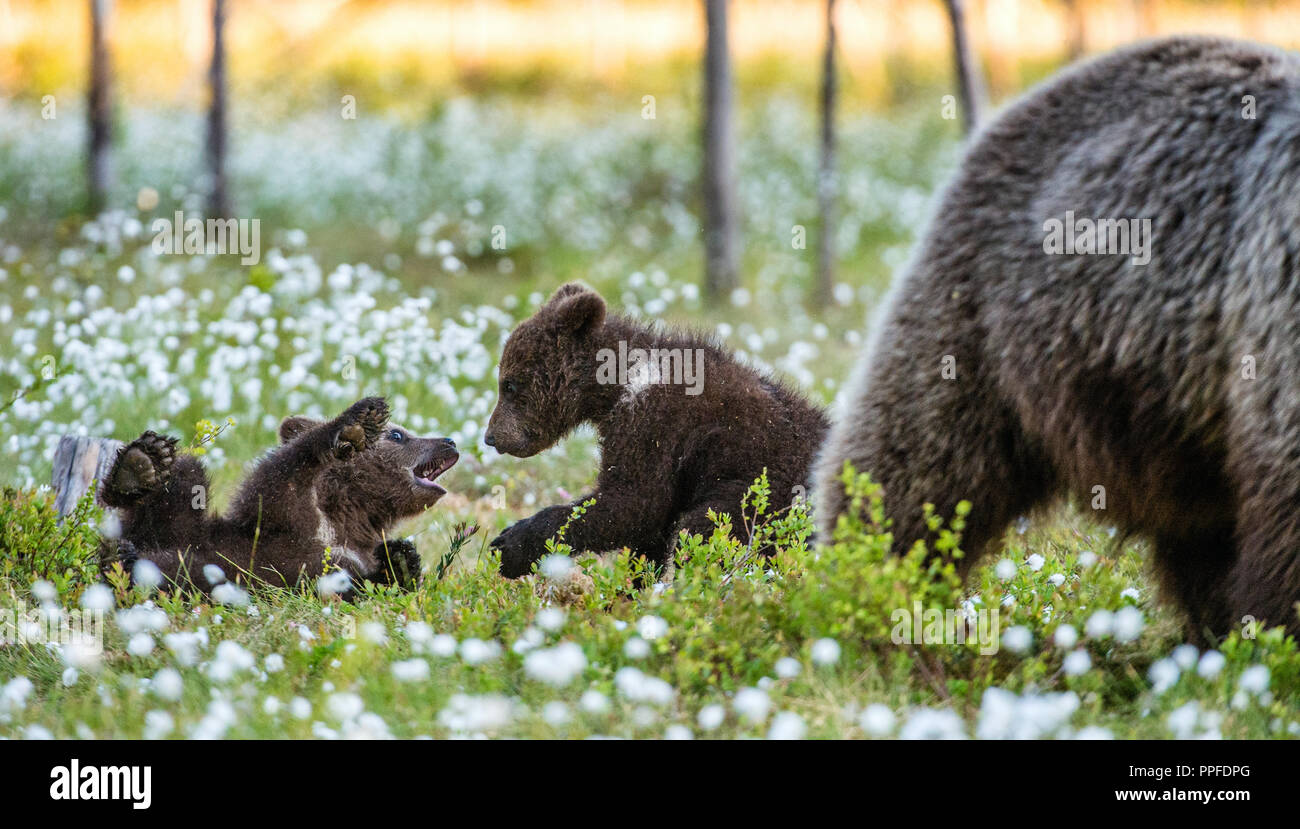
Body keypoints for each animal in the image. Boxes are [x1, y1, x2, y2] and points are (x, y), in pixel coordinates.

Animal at [99, 396, 459, 596]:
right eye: (398, 434)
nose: (450, 441)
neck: (346, 516)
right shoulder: (283, 516)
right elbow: (281, 474)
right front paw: (354, 421)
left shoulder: (349, 558)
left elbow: (366, 582)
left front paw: (402, 558)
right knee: (185, 474)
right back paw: (140, 464)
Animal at [484, 282, 829, 578]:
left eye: (509, 384)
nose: (491, 436)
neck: (618, 384)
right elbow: (649, 528)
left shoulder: (655, 423)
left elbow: (634, 502)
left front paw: (510, 544)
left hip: (768, 490)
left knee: (708, 529)